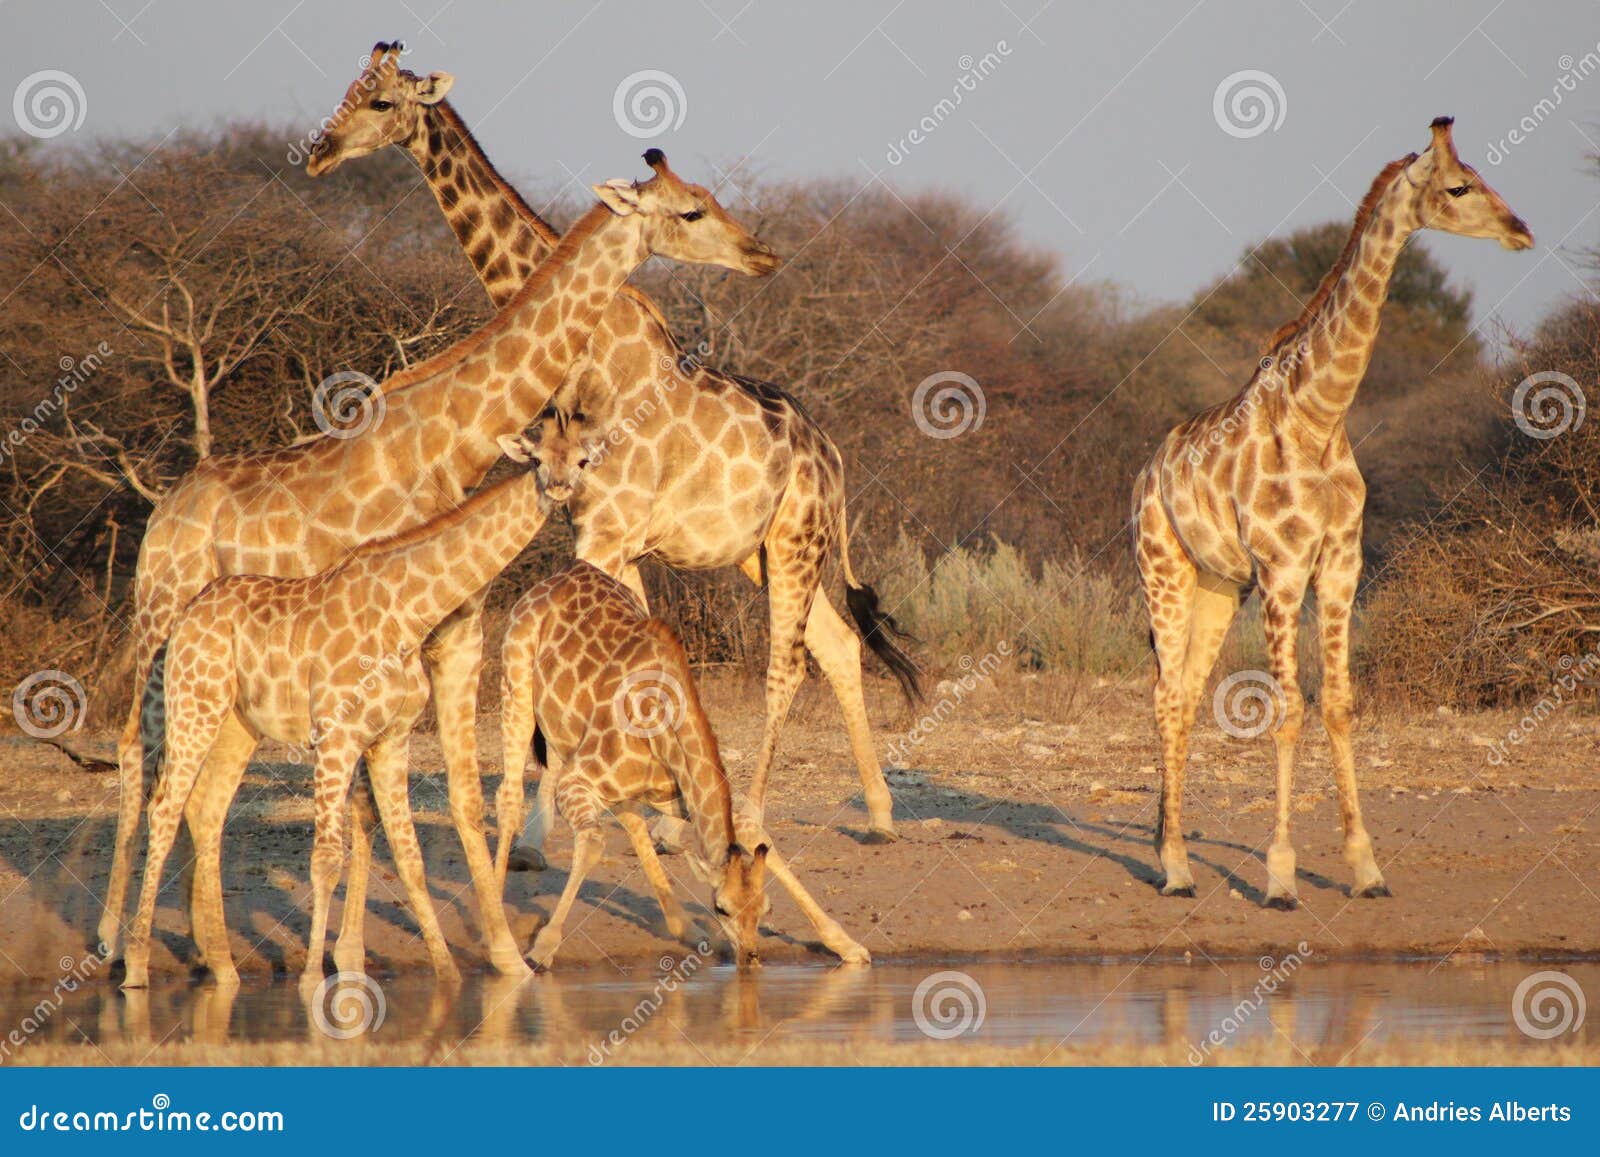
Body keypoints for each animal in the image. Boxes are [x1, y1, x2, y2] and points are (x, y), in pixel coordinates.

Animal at [120, 451, 551, 991]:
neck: (404, 610)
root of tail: (188, 616)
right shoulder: (336, 734)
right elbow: (326, 858)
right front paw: (311, 979)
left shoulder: (390, 737)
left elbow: (407, 851)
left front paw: (448, 973)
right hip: (194, 705)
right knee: (163, 805)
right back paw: (135, 963)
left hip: (239, 726)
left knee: (205, 809)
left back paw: (222, 966)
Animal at [307, 44, 921, 857]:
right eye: (351, 92)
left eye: (381, 103)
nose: (319, 151)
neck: (590, 361)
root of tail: (833, 456)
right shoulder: (607, 532)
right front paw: (646, 816)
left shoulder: (608, 531)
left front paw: (550, 831)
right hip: (760, 551)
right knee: (839, 642)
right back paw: (879, 813)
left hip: (796, 540)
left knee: (787, 664)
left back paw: (756, 816)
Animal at [495, 557, 871, 969]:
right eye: (721, 908)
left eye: (766, 908)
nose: (750, 957)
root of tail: (558, 575)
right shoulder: (575, 779)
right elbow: (593, 843)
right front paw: (542, 947)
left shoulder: (677, 795)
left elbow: (753, 832)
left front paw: (847, 945)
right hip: (516, 689)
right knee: (508, 796)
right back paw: (496, 926)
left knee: (631, 822)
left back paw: (686, 930)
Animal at [1132, 117, 1532, 907]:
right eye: (1458, 187)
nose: (1520, 230)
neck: (1321, 415)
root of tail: (1145, 473)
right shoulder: (1285, 570)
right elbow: (1287, 711)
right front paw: (1281, 876)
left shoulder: (1341, 564)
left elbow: (1339, 704)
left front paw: (1366, 869)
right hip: (1163, 572)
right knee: (1163, 697)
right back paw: (1175, 870)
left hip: (1218, 584)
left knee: (1185, 696)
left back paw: (1175, 855)